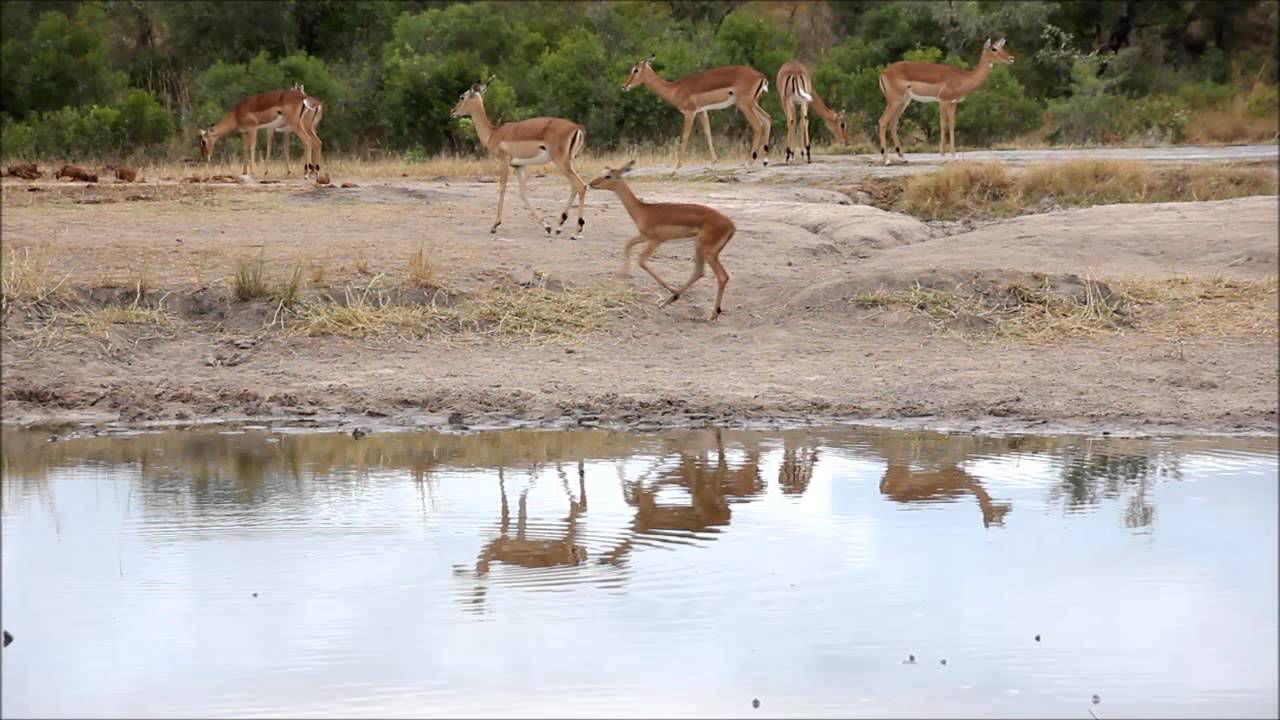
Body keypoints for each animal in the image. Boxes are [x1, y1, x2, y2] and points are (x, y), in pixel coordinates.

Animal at [450, 80, 588, 239]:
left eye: (462, 96)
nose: (452, 111)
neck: (493, 134)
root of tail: (577, 128)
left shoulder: (503, 162)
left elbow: (502, 188)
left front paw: (495, 225)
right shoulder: (519, 166)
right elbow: (524, 194)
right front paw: (547, 227)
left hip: (561, 162)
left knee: (581, 186)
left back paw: (577, 230)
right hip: (569, 162)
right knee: (574, 186)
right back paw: (560, 226)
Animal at [588, 160, 735, 321]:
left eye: (608, 176)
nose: (591, 183)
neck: (643, 210)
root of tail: (731, 225)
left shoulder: (655, 241)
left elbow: (642, 261)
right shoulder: (643, 237)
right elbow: (628, 244)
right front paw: (623, 274)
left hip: (708, 251)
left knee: (722, 276)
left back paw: (711, 314)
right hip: (699, 247)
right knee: (699, 272)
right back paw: (670, 300)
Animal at [622, 55, 772, 169]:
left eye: (636, 70)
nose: (624, 86)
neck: (675, 89)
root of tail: (760, 76)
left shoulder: (689, 112)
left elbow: (685, 136)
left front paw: (678, 165)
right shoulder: (702, 112)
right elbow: (708, 133)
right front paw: (713, 161)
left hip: (745, 105)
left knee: (758, 125)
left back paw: (749, 162)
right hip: (753, 104)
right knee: (767, 119)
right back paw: (764, 161)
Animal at [877, 37, 1015, 165]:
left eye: (1001, 47)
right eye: (994, 49)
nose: (1011, 59)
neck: (962, 78)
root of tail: (883, 72)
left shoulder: (953, 103)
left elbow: (952, 125)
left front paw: (954, 155)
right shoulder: (943, 101)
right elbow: (943, 124)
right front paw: (943, 155)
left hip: (904, 102)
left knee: (893, 123)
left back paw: (903, 158)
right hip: (895, 101)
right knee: (883, 121)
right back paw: (887, 160)